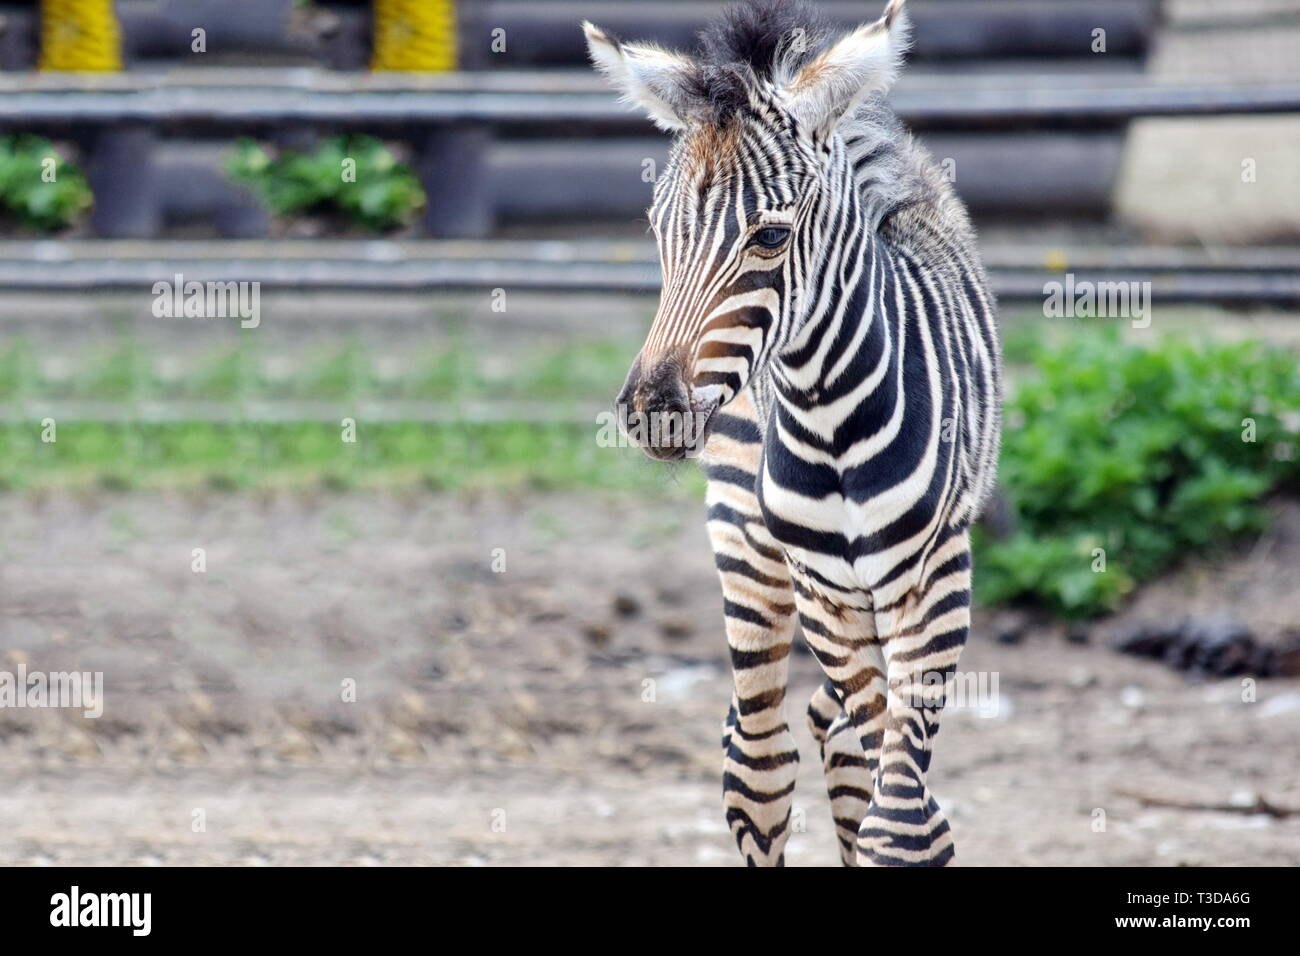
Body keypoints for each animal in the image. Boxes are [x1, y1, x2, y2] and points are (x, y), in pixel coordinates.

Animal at [585, 0, 1001, 866]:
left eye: (770, 238)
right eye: (656, 230)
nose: (651, 409)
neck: (830, 411)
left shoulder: (935, 574)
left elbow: (902, 821)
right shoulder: (820, 586)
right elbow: (879, 787)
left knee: (827, 735)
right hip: (747, 546)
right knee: (760, 760)